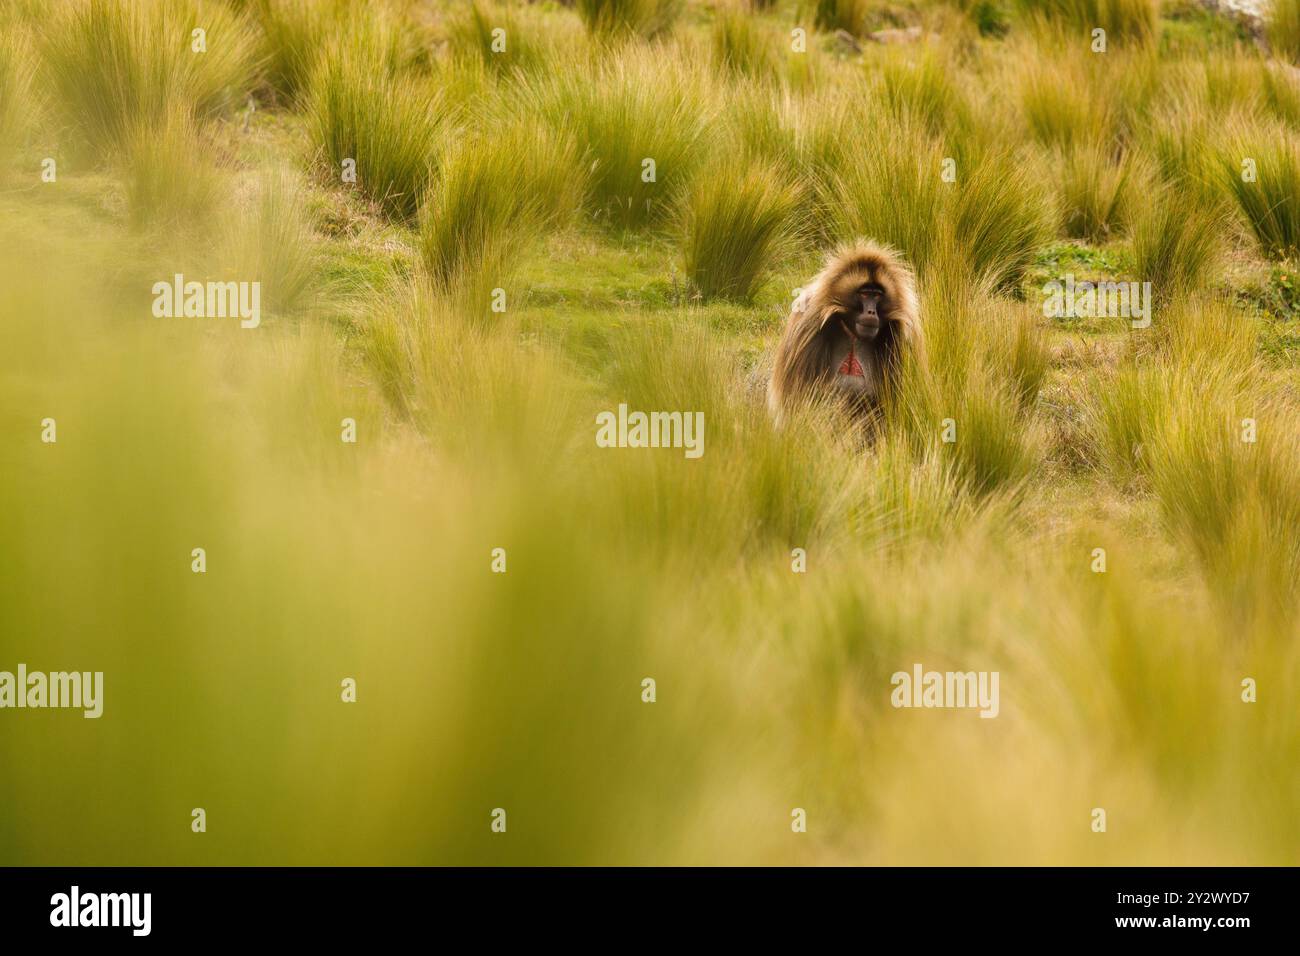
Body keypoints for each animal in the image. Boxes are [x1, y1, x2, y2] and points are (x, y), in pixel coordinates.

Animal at [767, 241, 923, 425]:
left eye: (877, 295)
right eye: (865, 294)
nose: (871, 312)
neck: (852, 332)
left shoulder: (904, 337)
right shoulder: (808, 326)